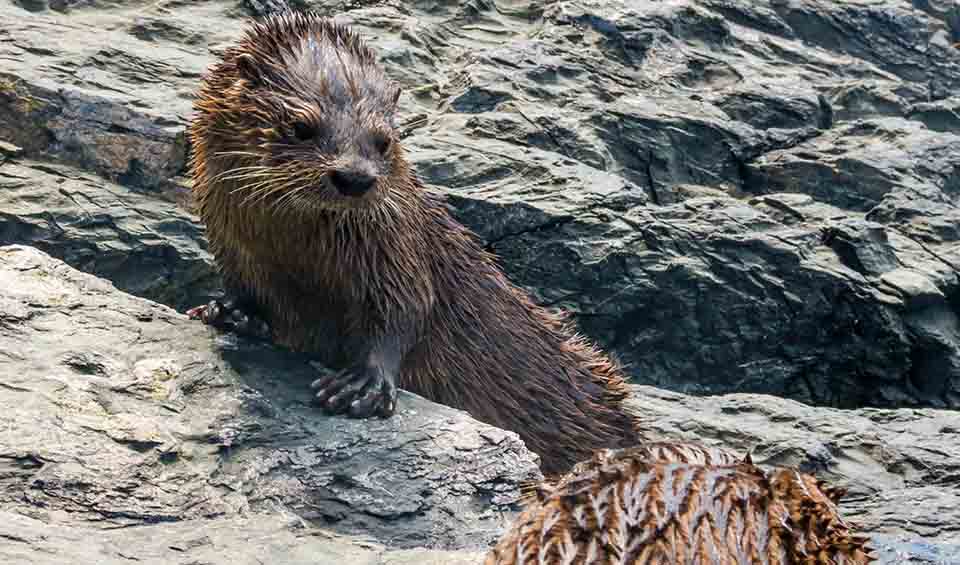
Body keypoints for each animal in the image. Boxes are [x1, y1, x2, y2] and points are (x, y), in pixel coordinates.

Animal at [186, 11, 636, 474]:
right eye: (301, 127)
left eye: (383, 139)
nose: (355, 176)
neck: (296, 263)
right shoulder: (230, 244)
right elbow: (241, 285)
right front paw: (230, 312)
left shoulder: (396, 249)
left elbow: (405, 308)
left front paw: (362, 385)